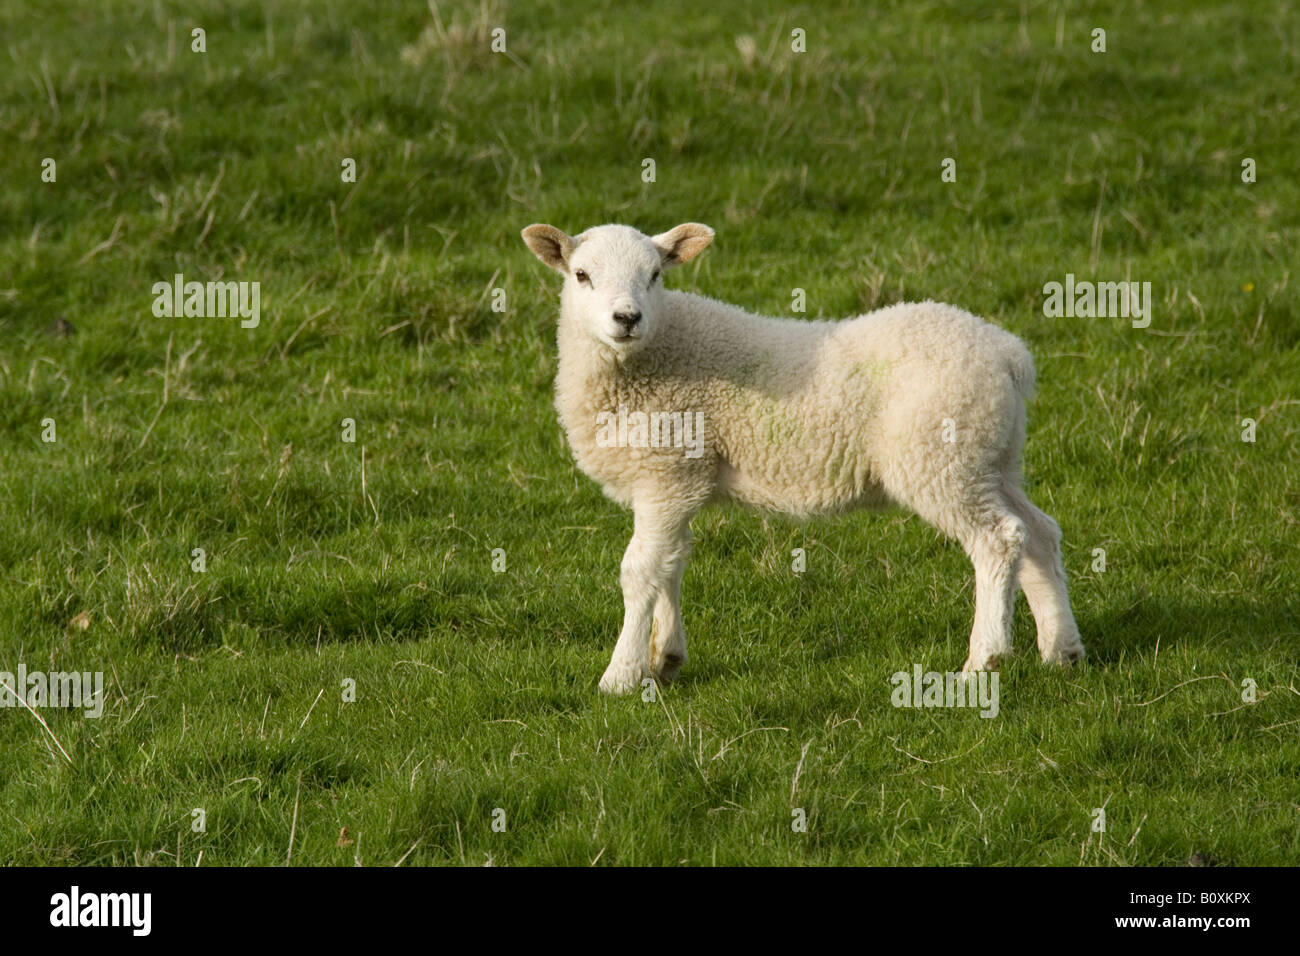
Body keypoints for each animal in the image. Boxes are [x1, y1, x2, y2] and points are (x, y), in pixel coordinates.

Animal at [521, 221, 1086, 695]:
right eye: (581, 275)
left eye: (655, 275)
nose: (627, 318)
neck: (654, 351)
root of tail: (1008, 355)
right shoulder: (674, 478)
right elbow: (669, 564)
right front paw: (665, 658)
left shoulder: (668, 471)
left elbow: (640, 570)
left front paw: (620, 675)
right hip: (991, 457)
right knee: (1039, 532)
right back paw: (1061, 649)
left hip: (940, 457)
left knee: (998, 539)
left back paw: (983, 659)